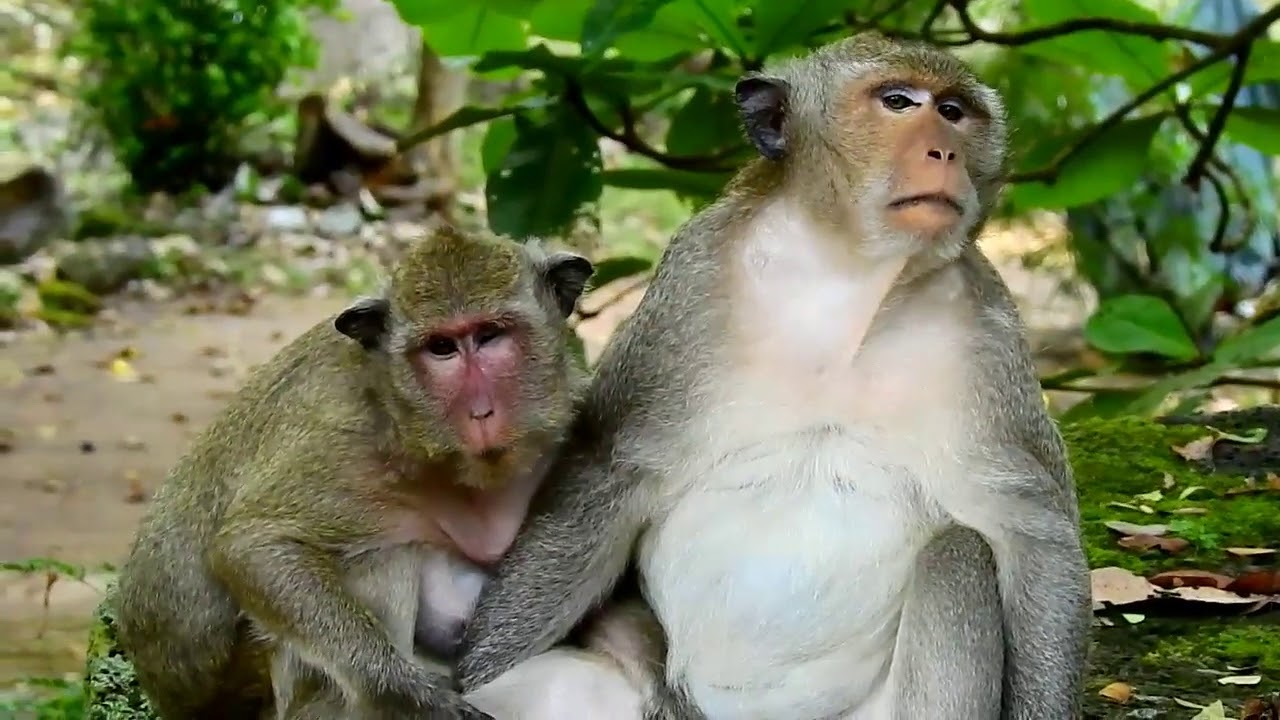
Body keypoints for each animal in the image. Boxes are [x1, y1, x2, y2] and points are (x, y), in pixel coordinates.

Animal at [112, 222, 613, 720]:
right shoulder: (343, 438)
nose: (480, 412)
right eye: (441, 348)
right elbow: (253, 546)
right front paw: (404, 691)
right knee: (378, 559)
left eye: (490, 336)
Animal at [454, 32, 1092, 720]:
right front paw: (473, 669)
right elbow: (609, 470)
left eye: (953, 111)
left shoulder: (987, 327)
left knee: (958, 556)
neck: (848, 275)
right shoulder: (690, 283)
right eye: (898, 102)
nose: (943, 149)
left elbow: (1028, 530)